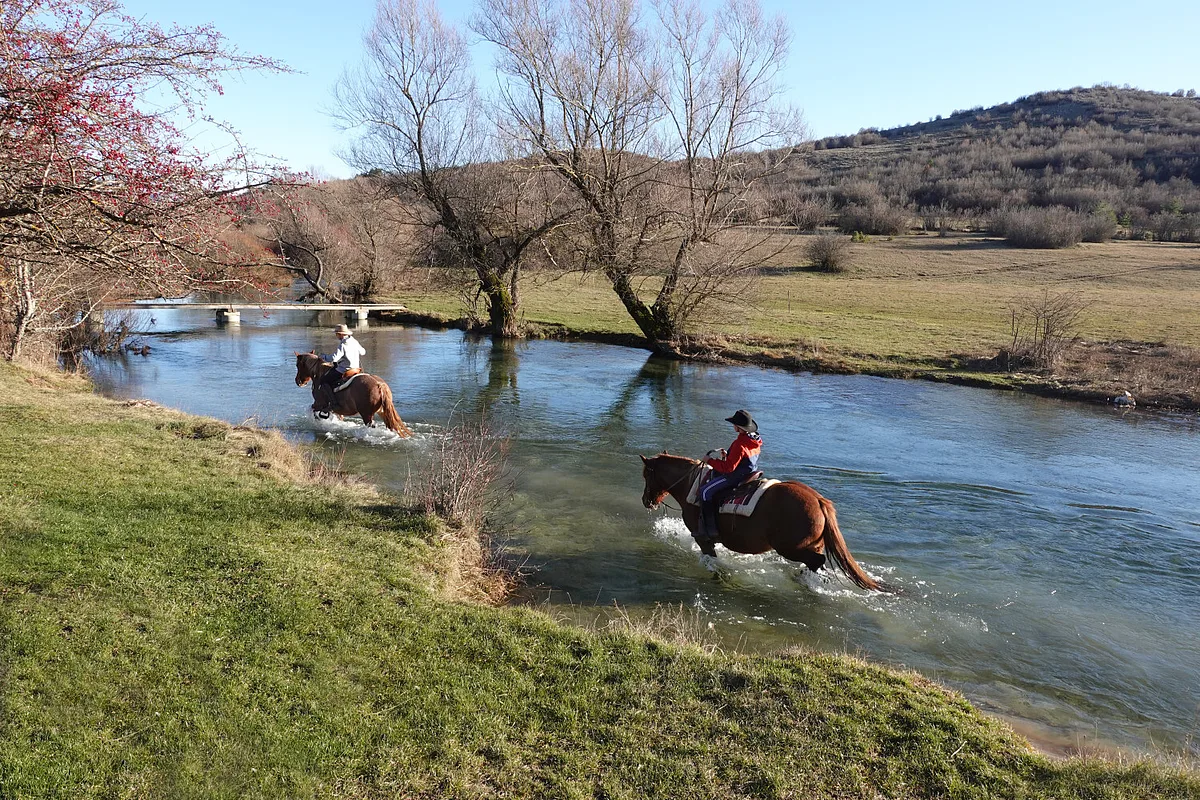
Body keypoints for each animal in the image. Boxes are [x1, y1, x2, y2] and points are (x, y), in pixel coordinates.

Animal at [639, 453, 891, 592]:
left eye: (646, 475)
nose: (645, 501)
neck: (692, 484)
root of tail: (819, 501)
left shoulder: (703, 539)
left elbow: (711, 561)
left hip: (790, 548)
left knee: (816, 561)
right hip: (810, 545)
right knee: (817, 563)